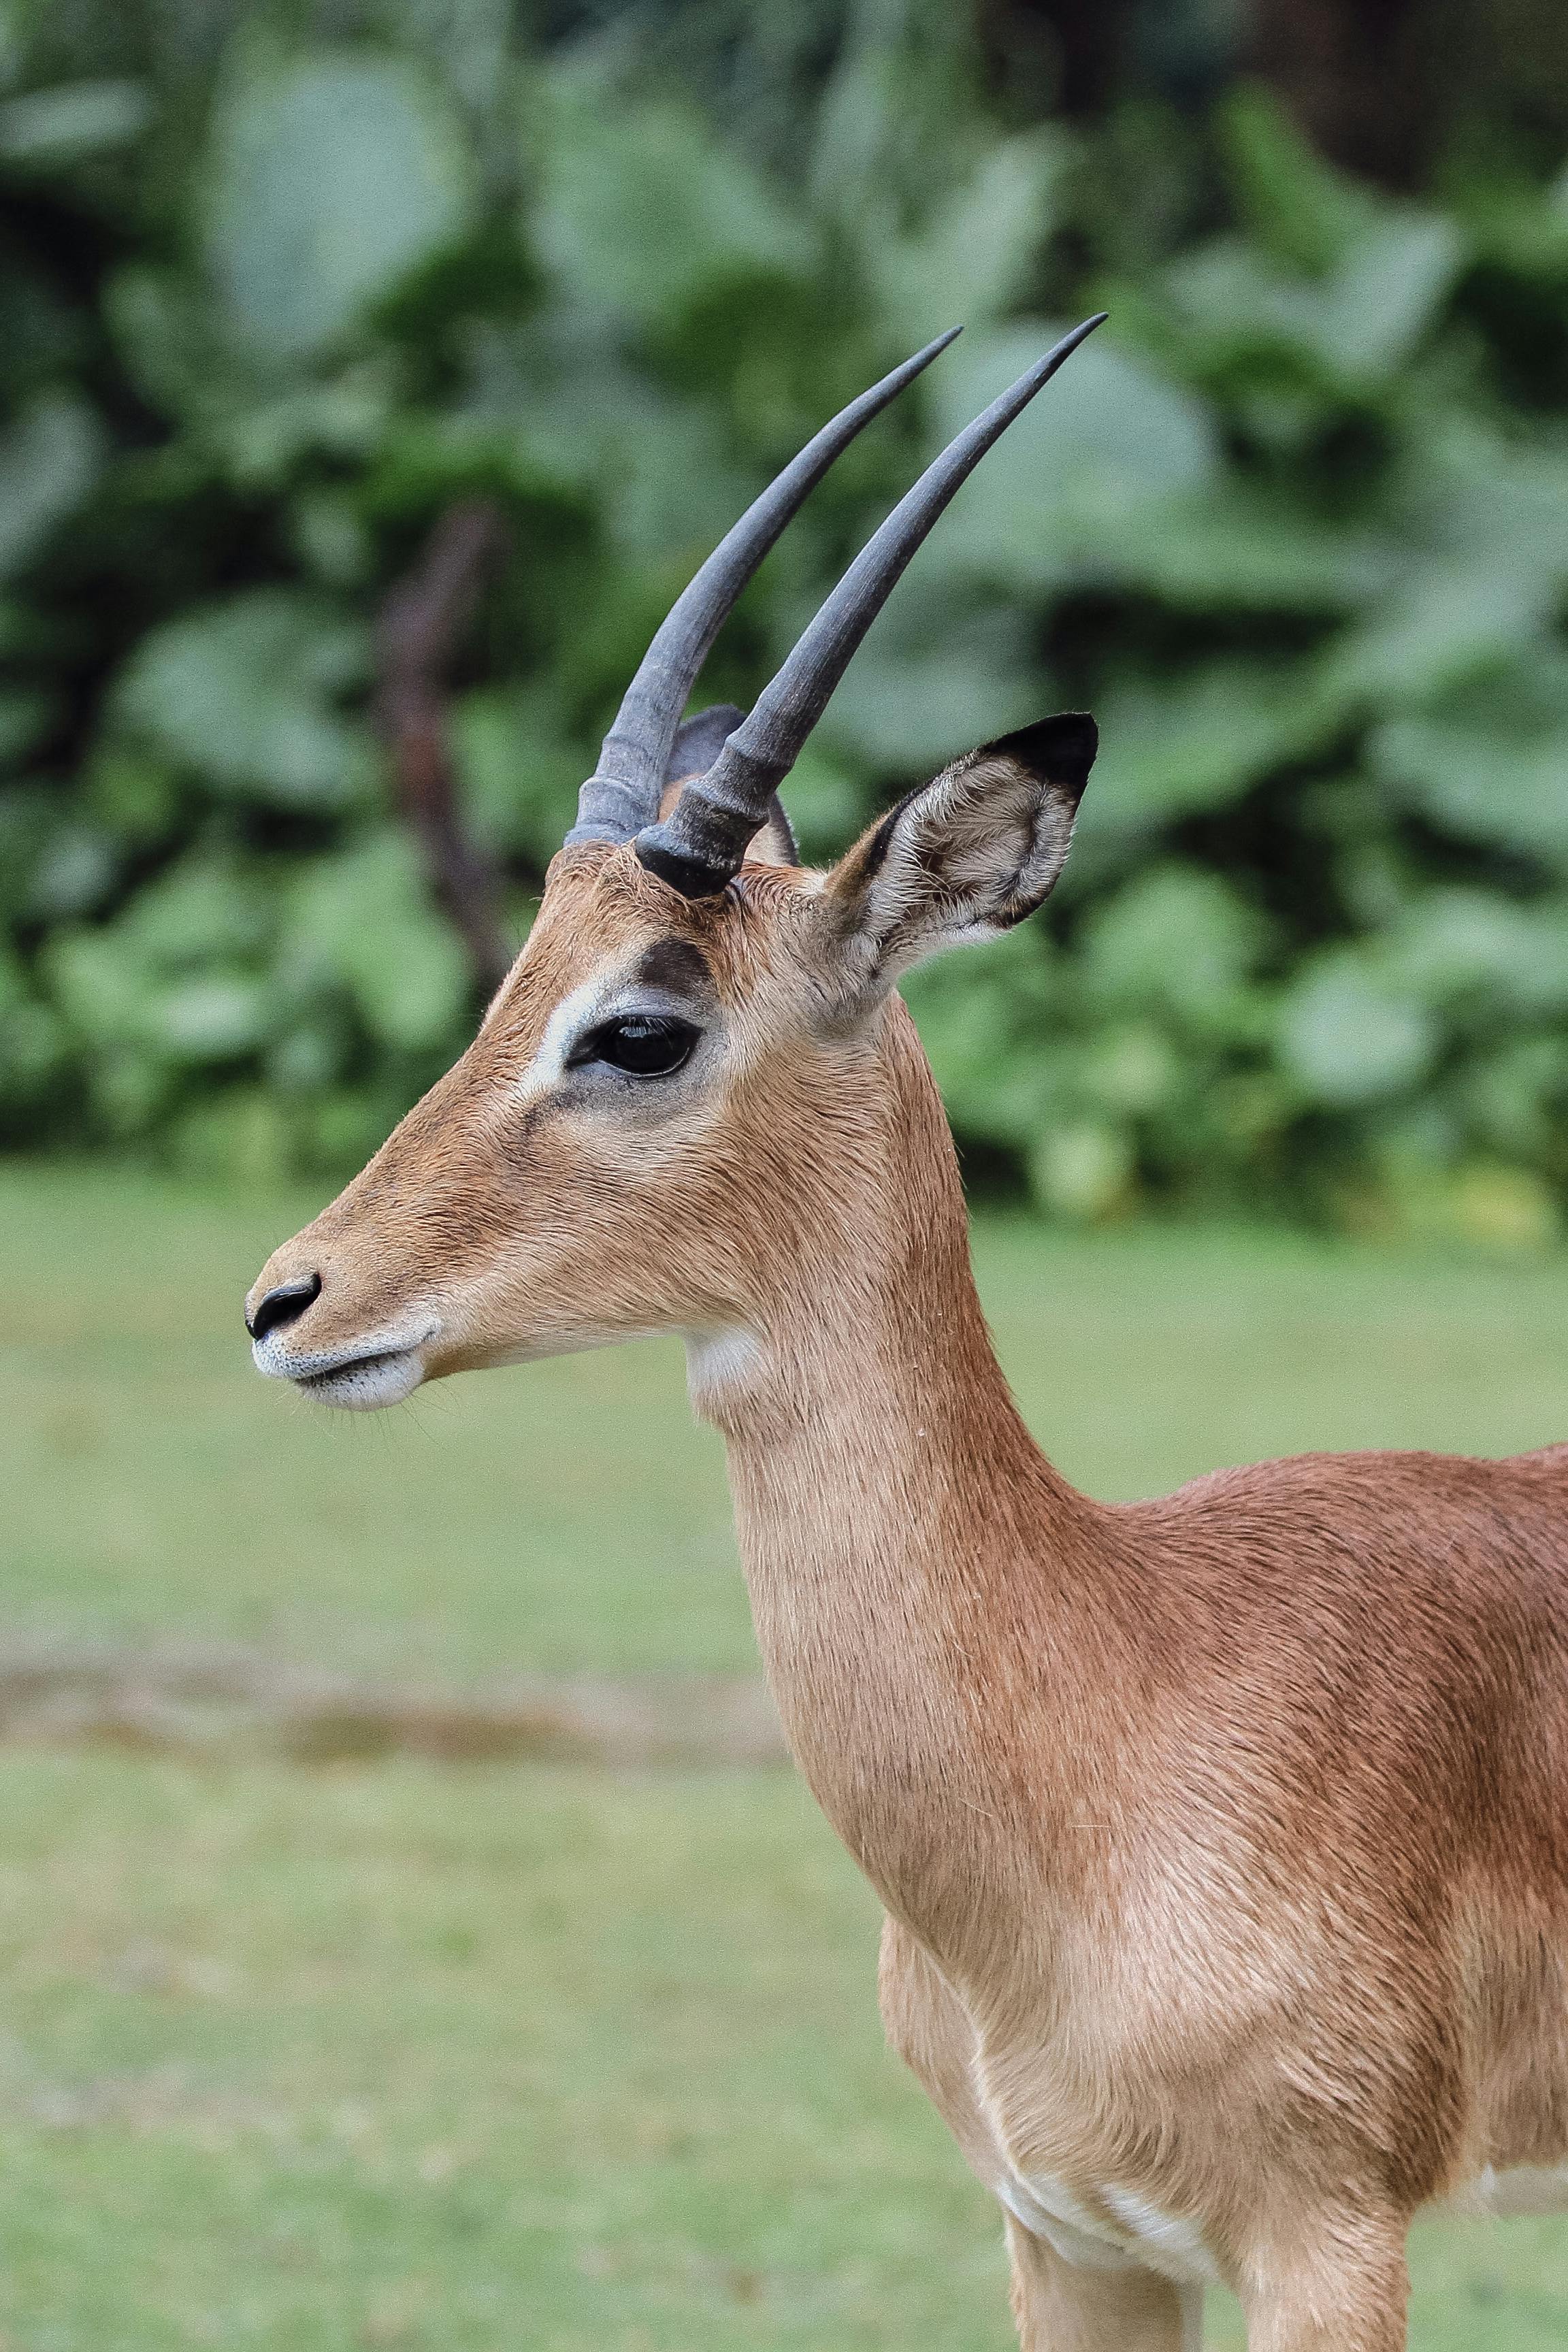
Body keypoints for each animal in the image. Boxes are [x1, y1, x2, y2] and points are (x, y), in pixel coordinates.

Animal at [246, 316, 1568, 2352]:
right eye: (512, 982)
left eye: (643, 1025)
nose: (289, 1301)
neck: (1119, 1705)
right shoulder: (1072, 2235)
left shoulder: (1326, 2238)